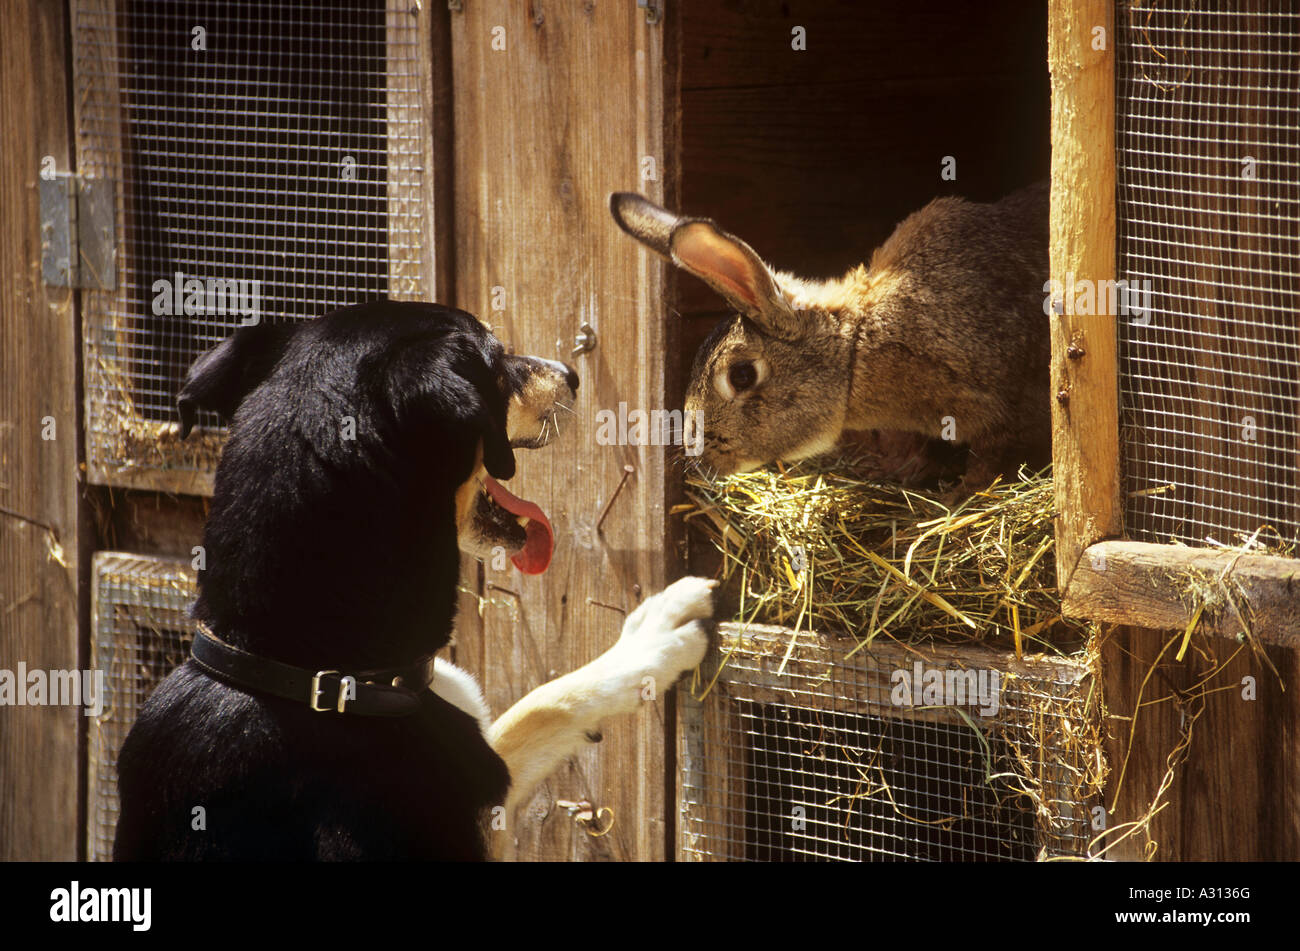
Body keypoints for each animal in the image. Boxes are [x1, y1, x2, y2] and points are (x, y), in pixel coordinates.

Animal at [609, 183, 1051, 491]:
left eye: (741, 376)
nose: (700, 455)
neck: (856, 349)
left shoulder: (1003, 407)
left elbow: (988, 462)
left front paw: (958, 496)